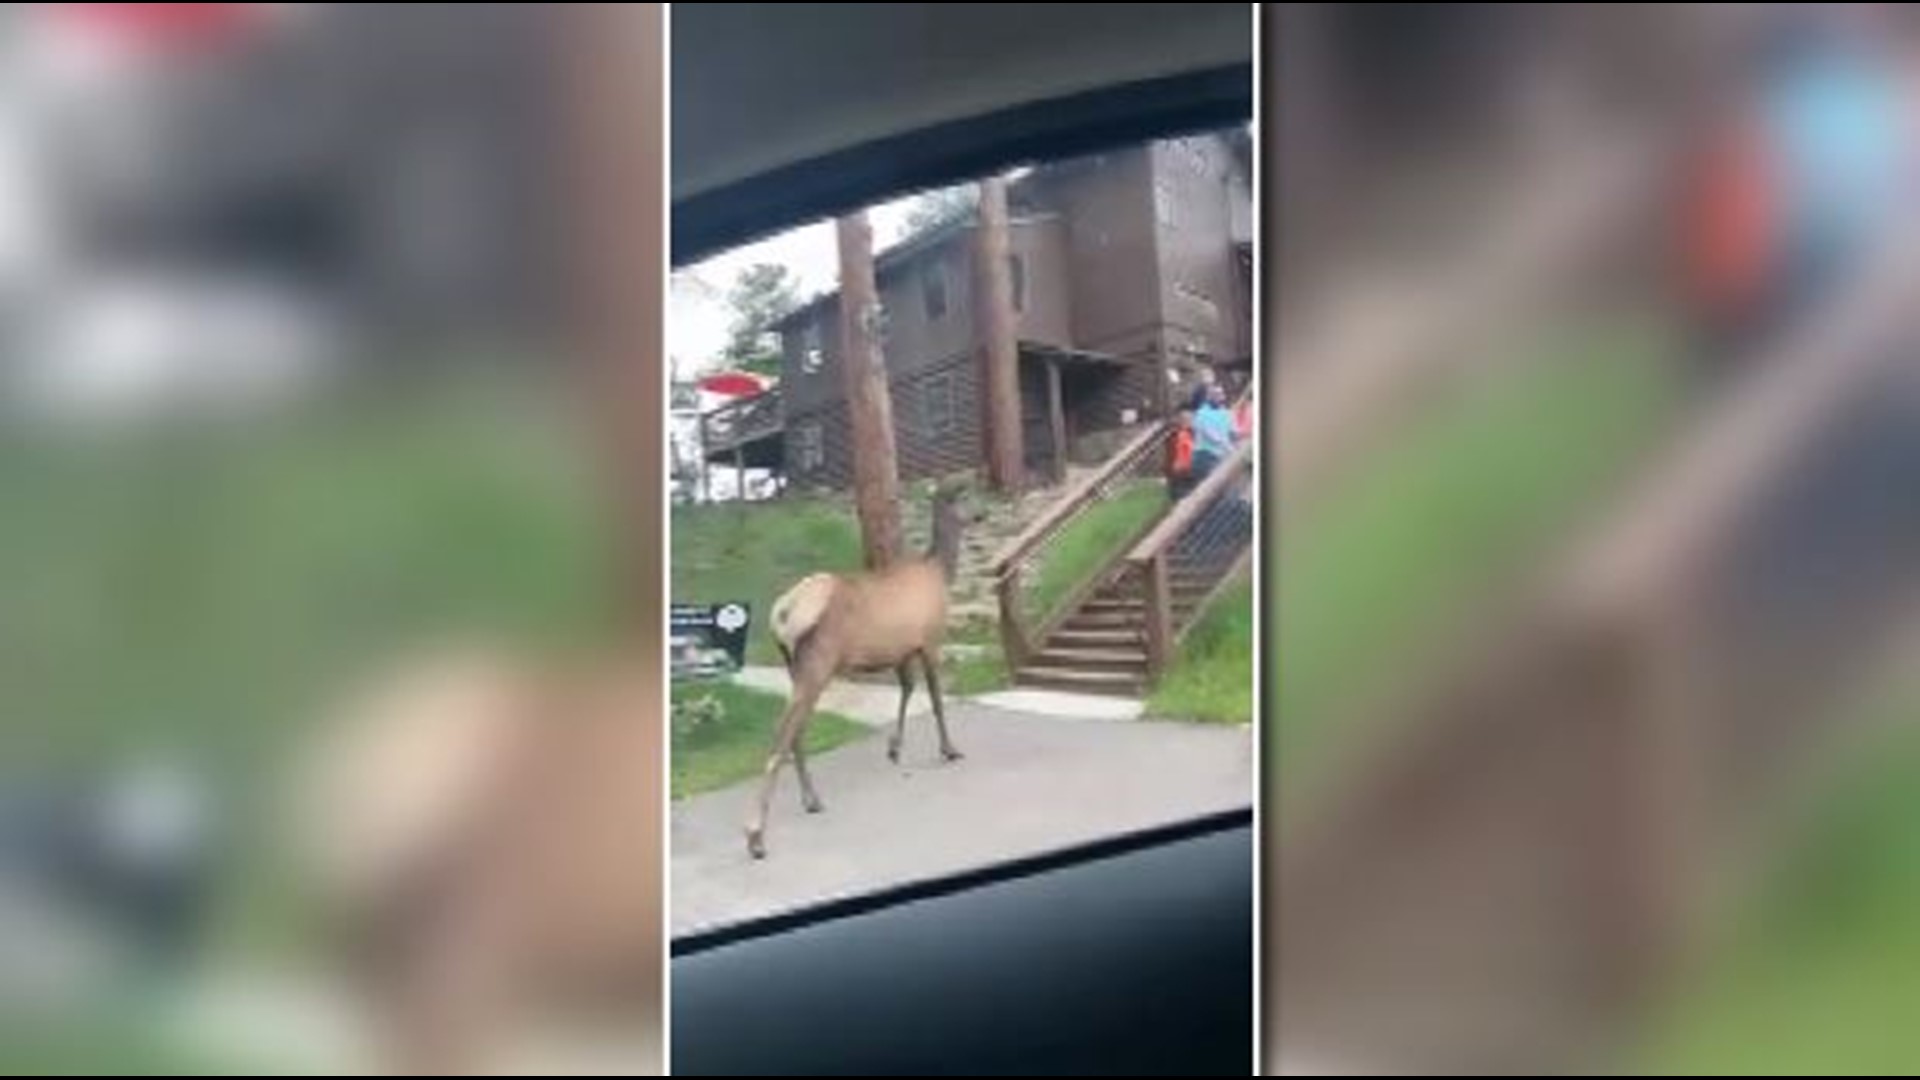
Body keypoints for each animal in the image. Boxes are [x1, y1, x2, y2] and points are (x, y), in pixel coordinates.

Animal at [748, 484, 974, 859]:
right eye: (958, 497)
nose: (981, 512)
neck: (941, 571)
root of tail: (781, 615)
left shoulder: (902, 650)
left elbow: (907, 688)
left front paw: (894, 747)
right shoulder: (930, 640)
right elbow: (936, 698)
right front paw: (950, 749)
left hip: (795, 668)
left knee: (796, 731)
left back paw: (812, 799)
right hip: (817, 664)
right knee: (781, 735)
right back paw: (756, 836)